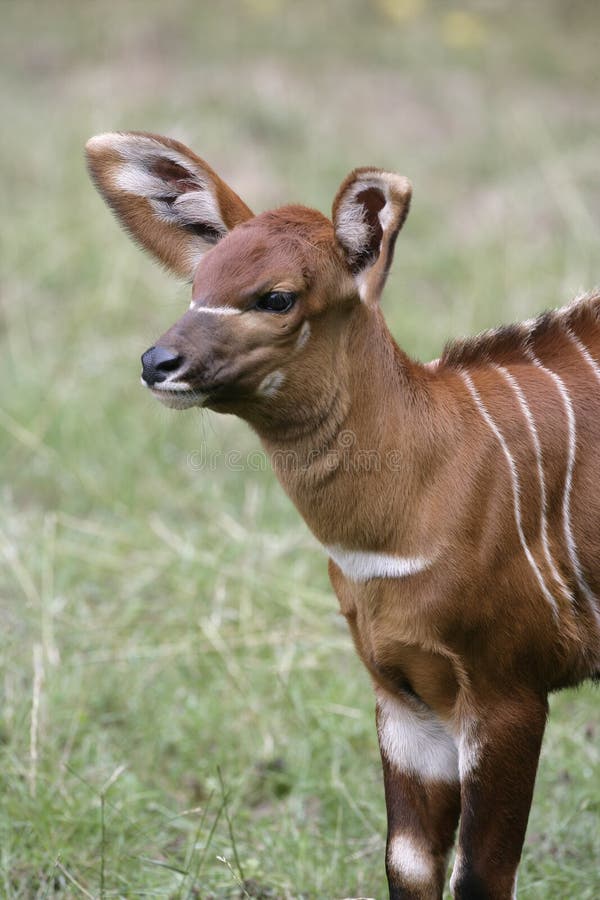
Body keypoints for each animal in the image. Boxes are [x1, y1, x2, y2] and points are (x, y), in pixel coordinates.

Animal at [86, 130, 600, 900]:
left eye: (276, 296)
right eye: (199, 284)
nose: (157, 362)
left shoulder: (509, 690)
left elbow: (480, 876)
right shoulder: (403, 693)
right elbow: (409, 862)